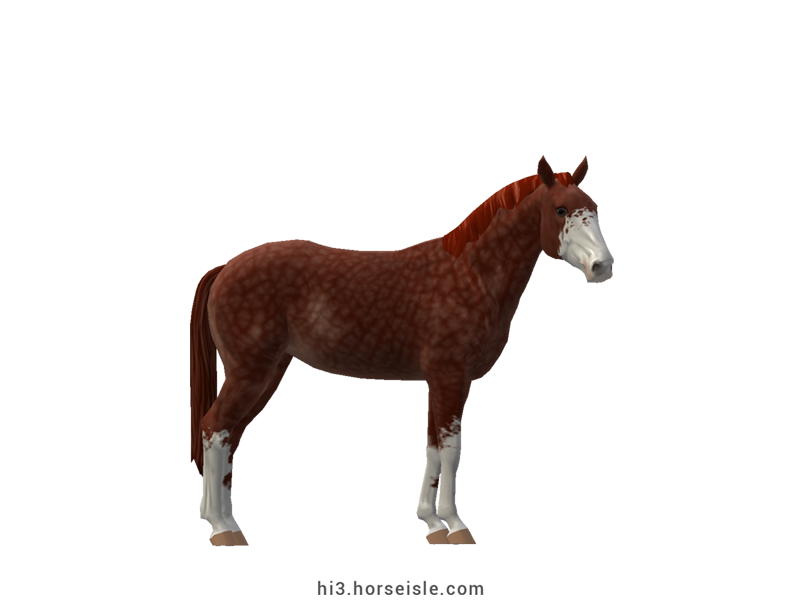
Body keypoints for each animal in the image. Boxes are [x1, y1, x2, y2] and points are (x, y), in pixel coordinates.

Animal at [190, 155, 614, 543]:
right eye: (561, 209)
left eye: (591, 206)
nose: (601, 265)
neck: (473, 274)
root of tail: (225, 269)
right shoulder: (449, 373)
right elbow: (450, 446)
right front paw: (455, 524)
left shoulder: (439, 378)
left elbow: (432, 445)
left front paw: (430, 522)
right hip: (248, 371)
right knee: (214, 427)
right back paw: (218, 528)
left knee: (221, 433)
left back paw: (222, 521)